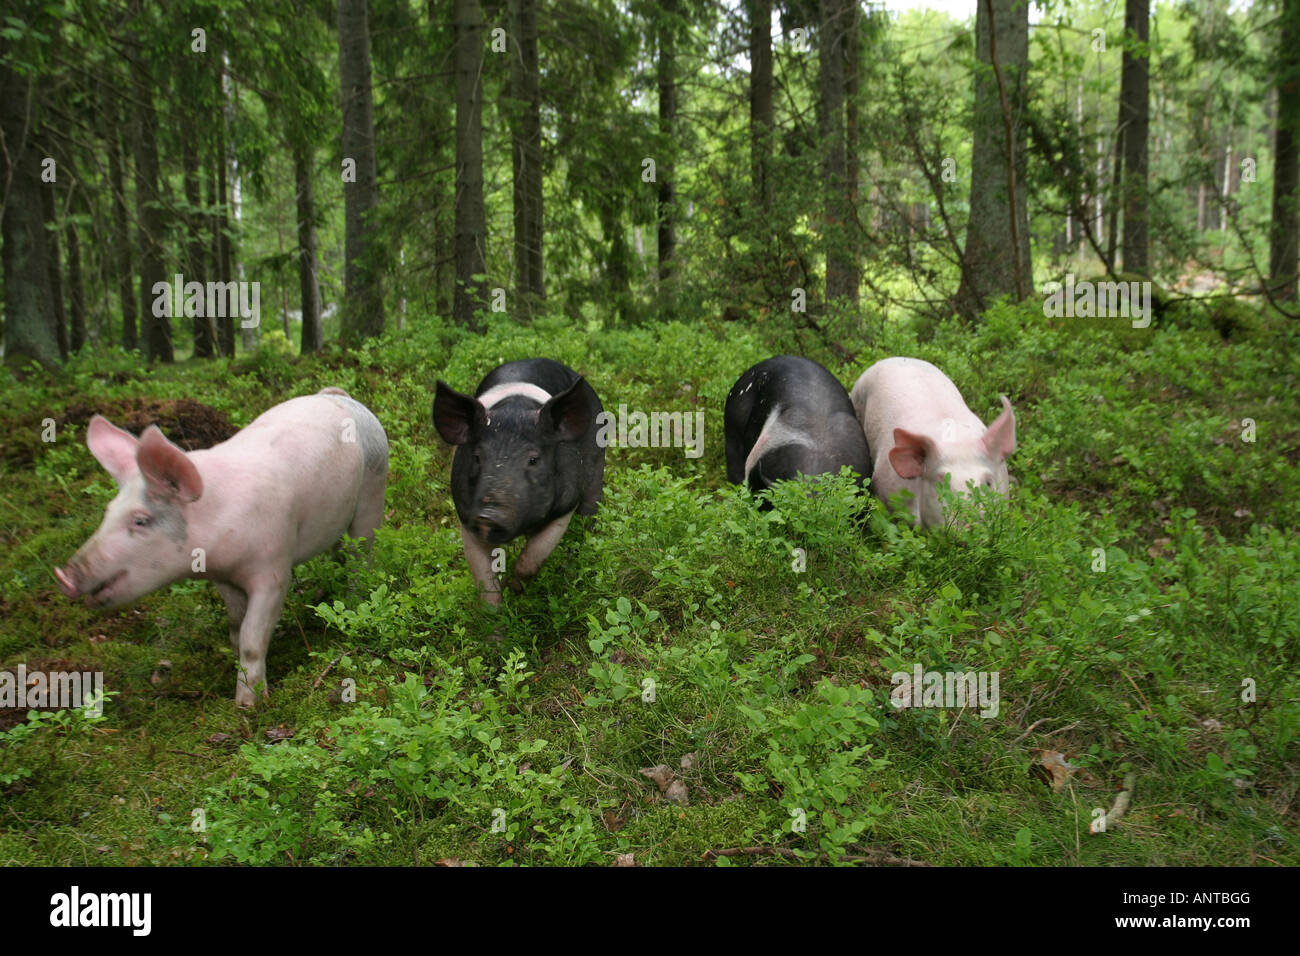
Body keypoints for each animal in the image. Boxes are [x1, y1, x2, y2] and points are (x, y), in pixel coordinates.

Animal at [54, 387, 389, 706]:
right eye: (108, 511)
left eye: (140, 520)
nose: (63, 575)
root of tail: (338, 396)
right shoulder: (222, 577)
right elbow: (236, 627)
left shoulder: (273, 569)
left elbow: (252, 639)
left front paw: (248, 705)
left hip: (374, 490)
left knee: (362, 557)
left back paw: (353, 601)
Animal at [432, 358, 604, 605]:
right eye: (477, 457)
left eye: (533, 459)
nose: (489, 515)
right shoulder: (466, 518)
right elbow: (484, 581)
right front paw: (496, 608)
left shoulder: (564, 508)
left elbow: (532, 558)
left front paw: (514, 588)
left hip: (598, 457)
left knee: (592, 501)